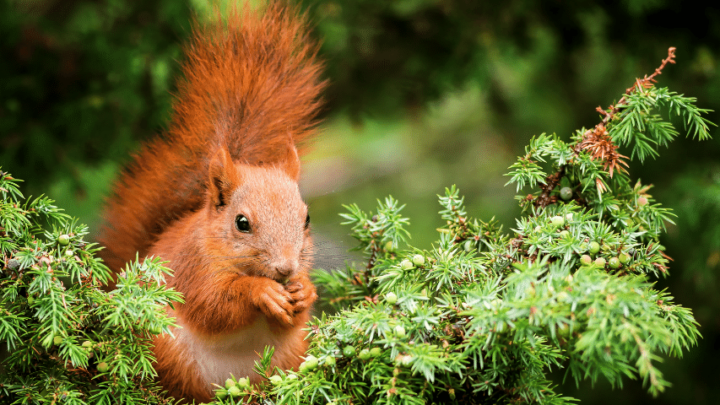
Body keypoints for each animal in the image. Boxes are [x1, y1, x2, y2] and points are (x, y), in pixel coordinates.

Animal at [96, 2, 324, 401]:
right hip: (167, 349)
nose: (286, 269)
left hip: (291, 354)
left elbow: (292, 318)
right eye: (242, 223)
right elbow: (213, 307)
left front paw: (304, 291)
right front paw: (260, 291)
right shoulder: (191, 270)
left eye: (306, 219)